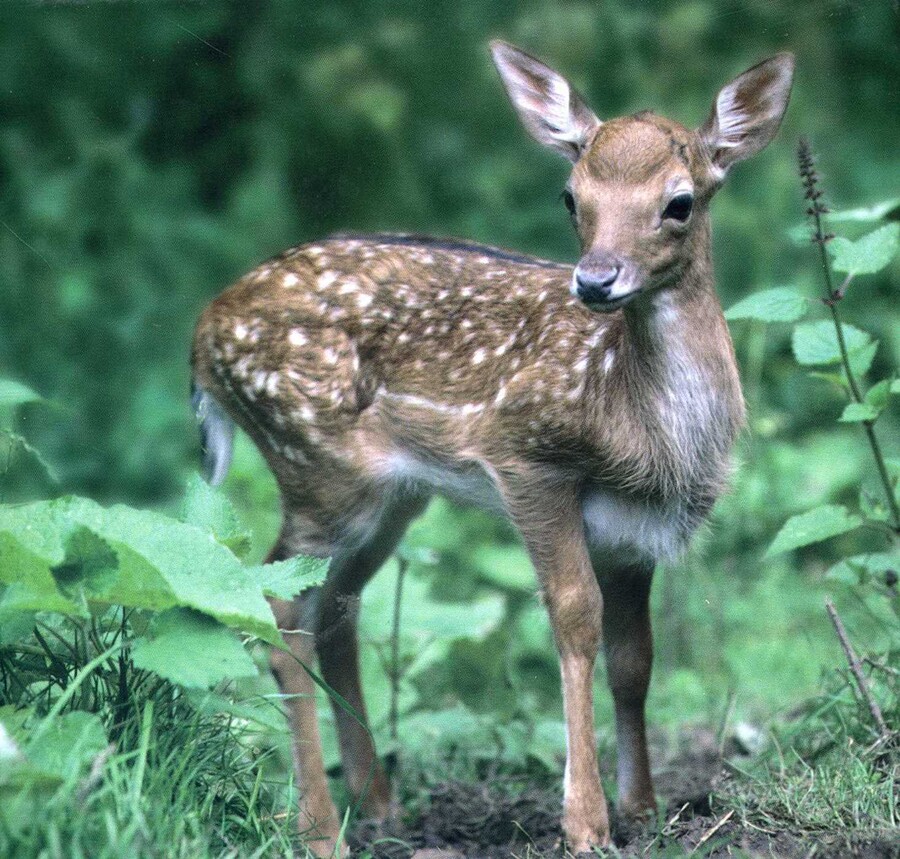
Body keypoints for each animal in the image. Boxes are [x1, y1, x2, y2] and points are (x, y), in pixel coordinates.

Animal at [191, 42, 794, 855]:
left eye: (680, 202)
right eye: (571, 197)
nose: (595, 280)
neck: (643, 424)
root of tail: (202, 335)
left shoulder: (637, 530)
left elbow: (636, 658)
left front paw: (643, 809)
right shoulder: (525, 460)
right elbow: (575, 618)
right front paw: (586, 822)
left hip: (392, 496)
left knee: (337, 605)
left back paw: (379, 803)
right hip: (314, 463)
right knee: (281, 607)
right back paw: (320, 829)